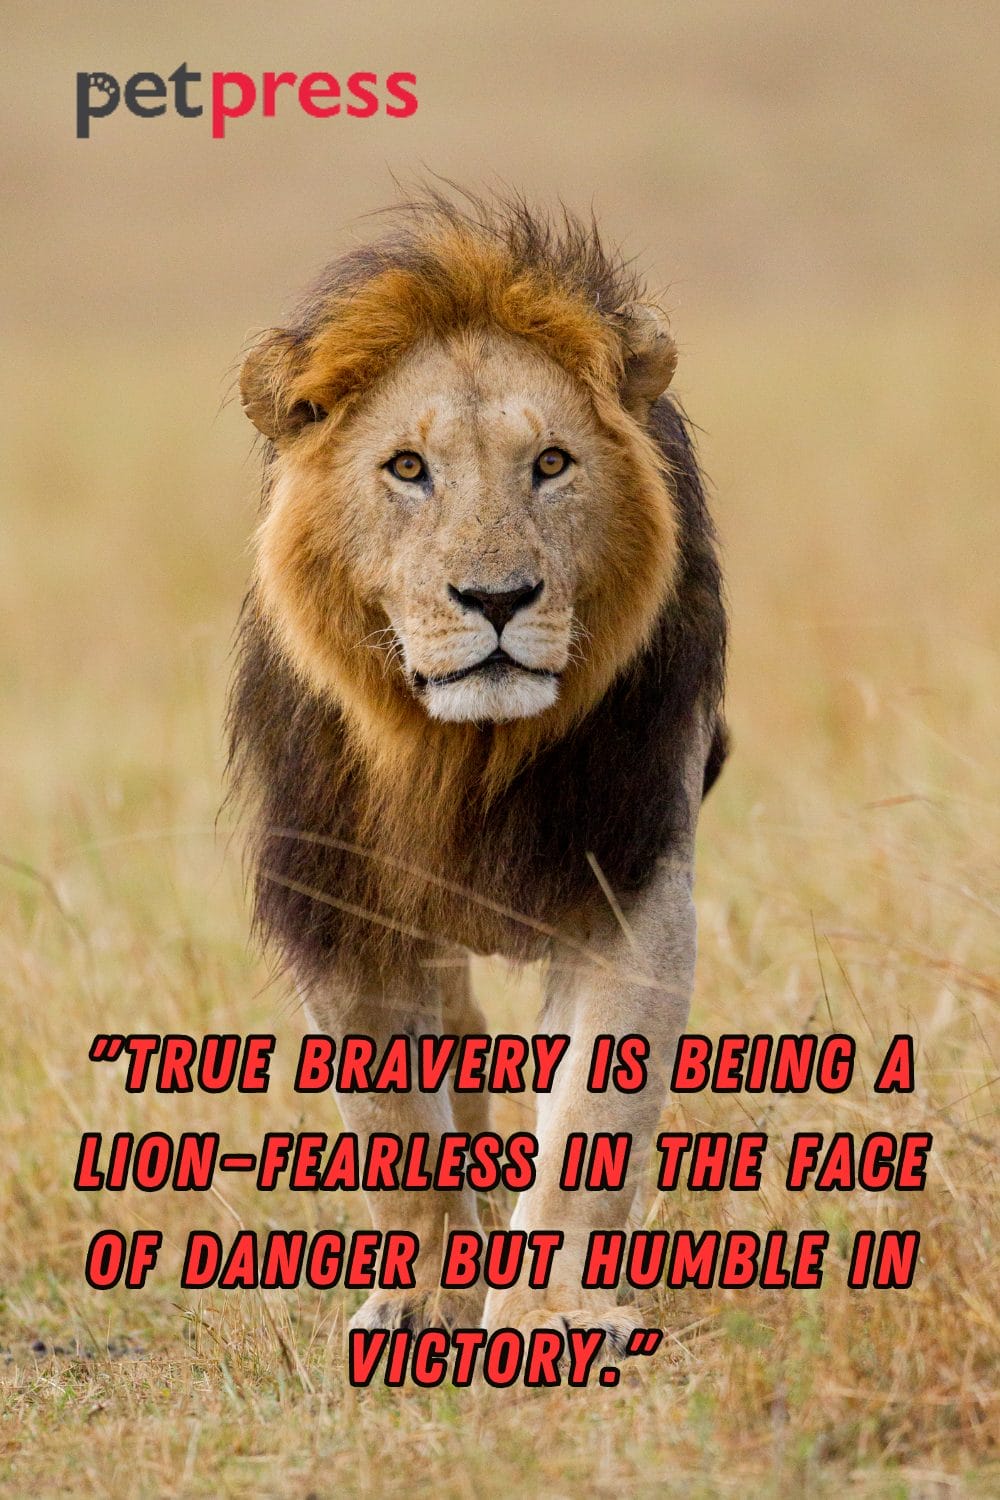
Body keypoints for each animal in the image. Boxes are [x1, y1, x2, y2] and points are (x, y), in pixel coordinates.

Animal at [228, 189, 727, 1350]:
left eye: (550, 463)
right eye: (408, 468)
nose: (496, 599)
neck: (460, 753)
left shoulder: (631, 884)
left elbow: (593, 1115)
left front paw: (550, 1309)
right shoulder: (341, 903)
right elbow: (394, 1125)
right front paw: (424, 1298)